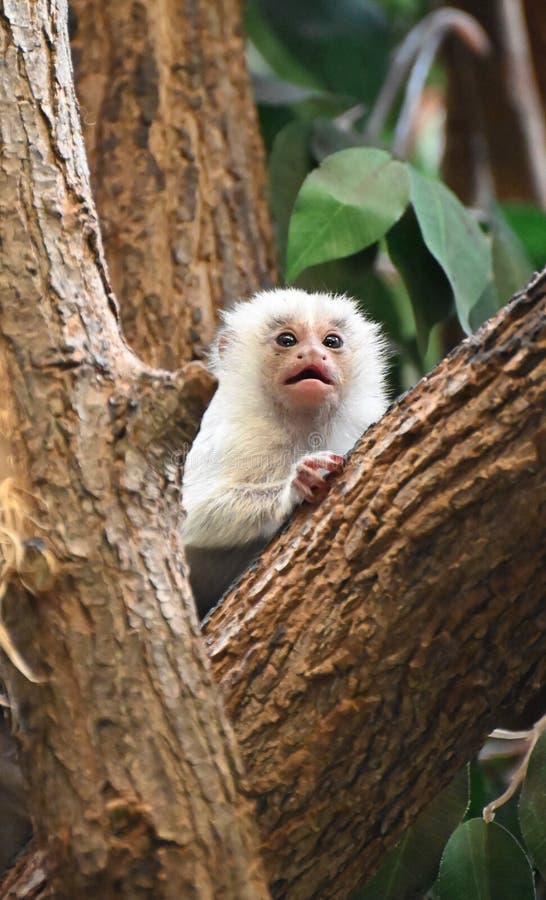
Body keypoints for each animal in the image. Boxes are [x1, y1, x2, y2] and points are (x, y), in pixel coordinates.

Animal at [182, 288, 389, 620]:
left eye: (332, 342)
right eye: (287, 340)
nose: (315, 354)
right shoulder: (235, 437)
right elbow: (190, 514)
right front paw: (295, 485)